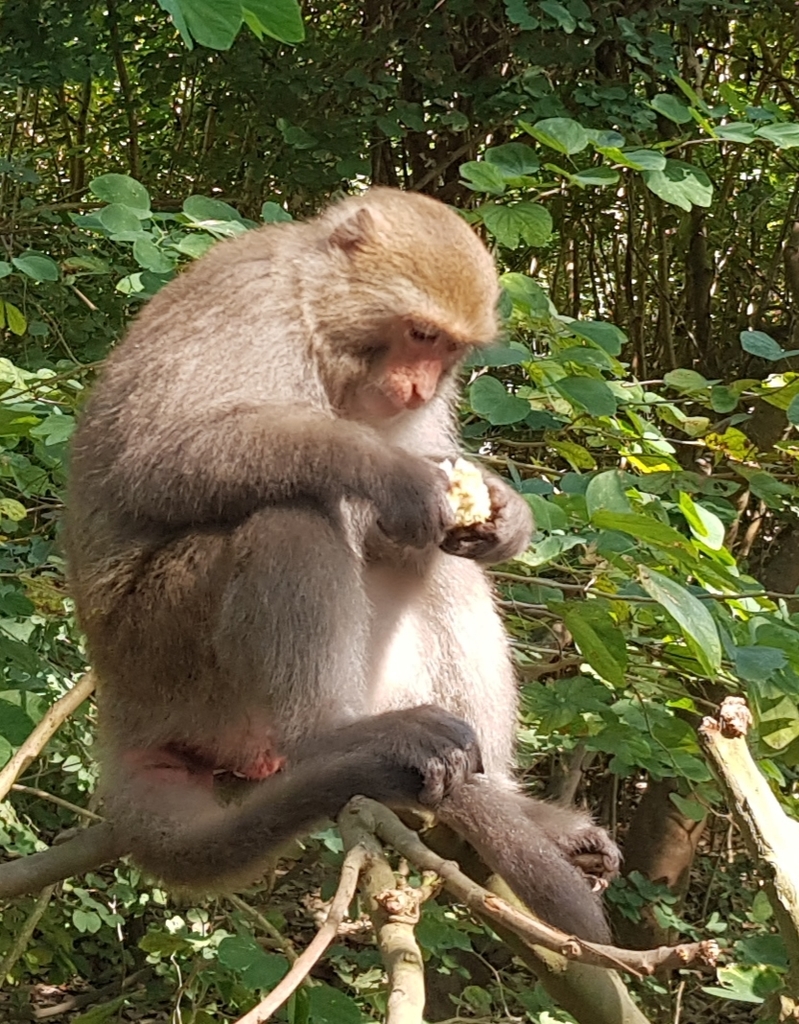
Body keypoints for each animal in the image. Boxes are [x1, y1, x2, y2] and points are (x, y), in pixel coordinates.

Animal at [65, 187, 619, 942]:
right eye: (420, 334)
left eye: (447, 348)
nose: (419, 388)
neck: (319, 324)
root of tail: (123, 707)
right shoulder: (253, 305)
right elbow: (160, 456)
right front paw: (390, 473)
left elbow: (413, 535)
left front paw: (504, 513)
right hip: (165, 655)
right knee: (289, 515)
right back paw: (331, 735)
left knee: (432, 559)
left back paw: (517, 805)